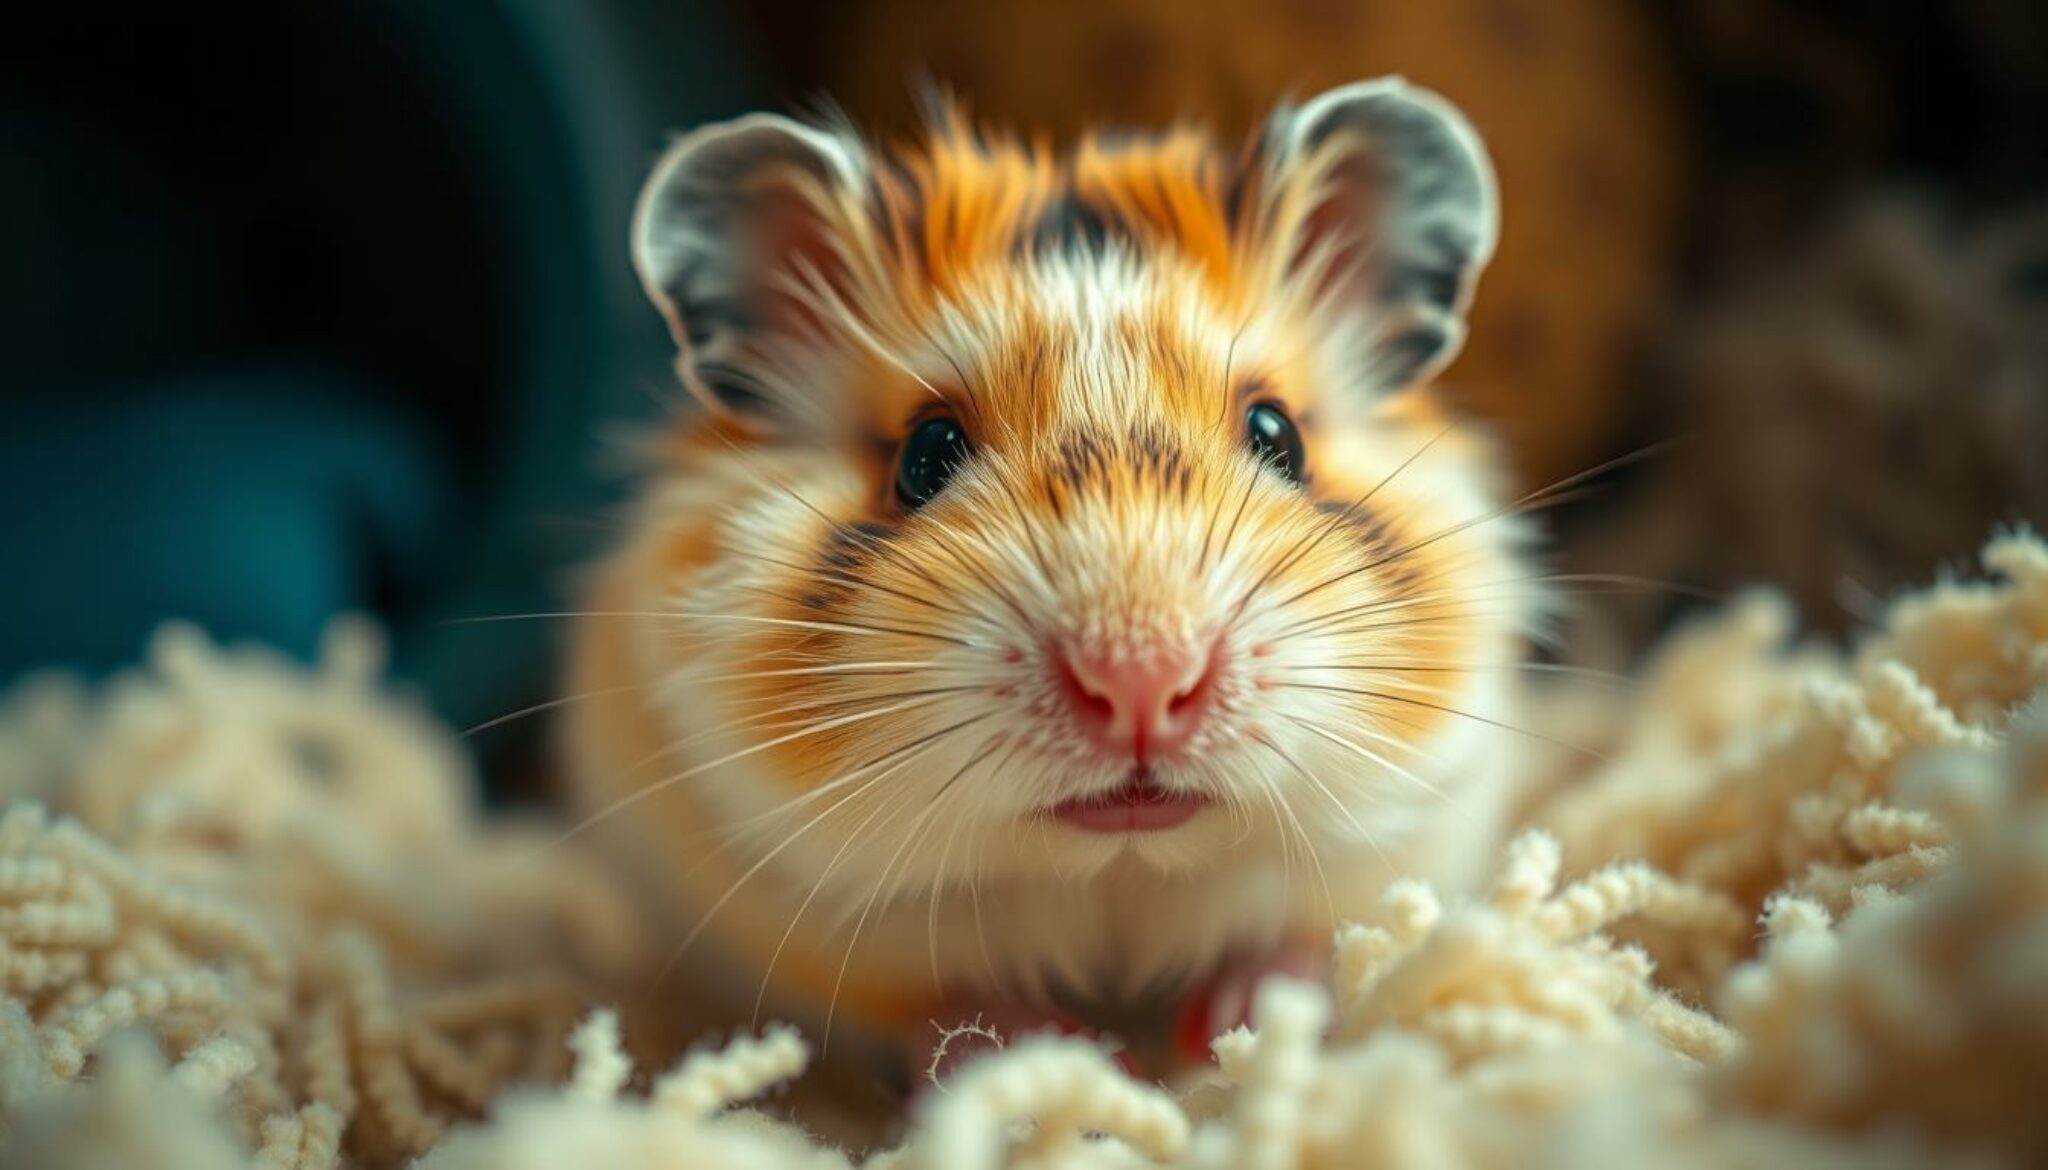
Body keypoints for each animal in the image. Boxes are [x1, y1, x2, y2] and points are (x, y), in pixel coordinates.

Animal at [565, 78, 1532, 1091]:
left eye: (1280, 436)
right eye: (925, 456)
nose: (1140, 682)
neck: (1120, 871)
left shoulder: (1415, 832)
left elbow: (1303, 941)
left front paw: (1225, 1030)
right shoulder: (782, 910)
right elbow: (934, 1000)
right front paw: (1080, 1054)